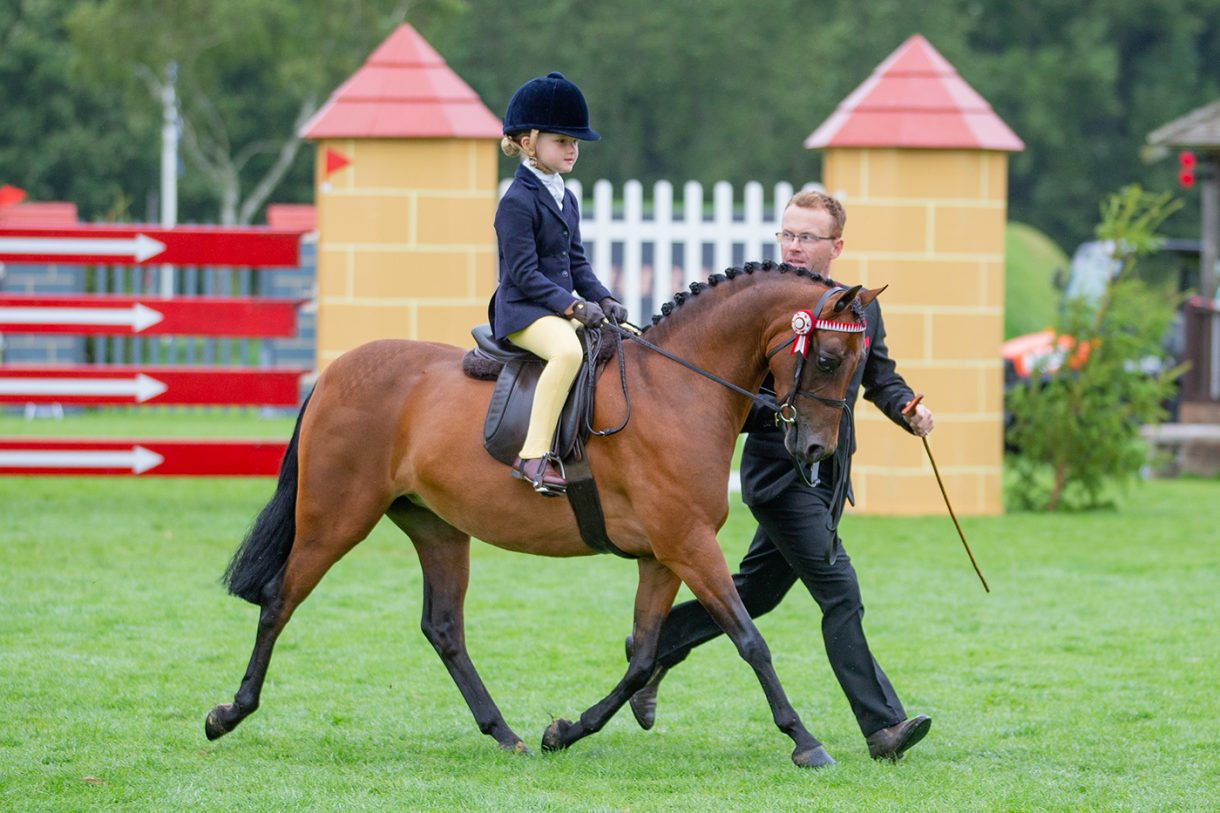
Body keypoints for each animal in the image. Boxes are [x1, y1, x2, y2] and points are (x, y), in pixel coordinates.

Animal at [205, 260, 881, 768]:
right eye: (827, 358)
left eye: (858, 365)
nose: (815, 451)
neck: (677, 390)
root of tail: (334, 372)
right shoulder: (688, 546)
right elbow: (750, 640)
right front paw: (805, 741)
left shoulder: (663, 557)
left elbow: (642, 656)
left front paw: (566, 730)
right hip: (336, 517)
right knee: (280, 599)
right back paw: (228, 713)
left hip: (436, 527)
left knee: (443, 629)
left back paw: (505, 734)